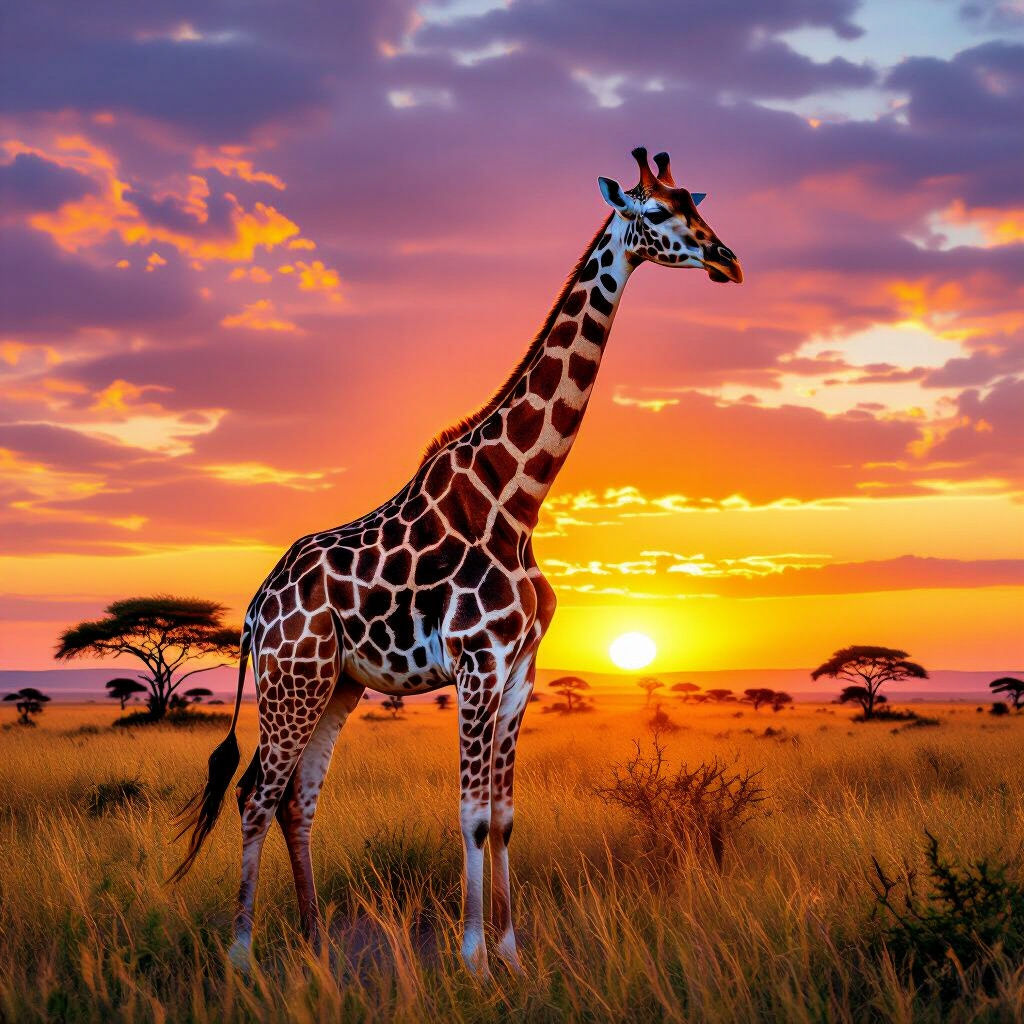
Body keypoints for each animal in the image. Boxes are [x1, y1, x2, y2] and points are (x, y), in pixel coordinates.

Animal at [171, 147, 743, 975]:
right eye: (658, 213)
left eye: (695, 205)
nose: (728, 259)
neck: (519, 494)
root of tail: (253, 610)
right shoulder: (476, 661)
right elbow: (472, 814)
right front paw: (473, 957)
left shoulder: (520, 669)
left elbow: (503, 815)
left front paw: (511, 952)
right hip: (293, 680)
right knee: (255, 794)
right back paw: (243, 954)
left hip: (337, 686)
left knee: (296, 798)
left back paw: (313, 944)